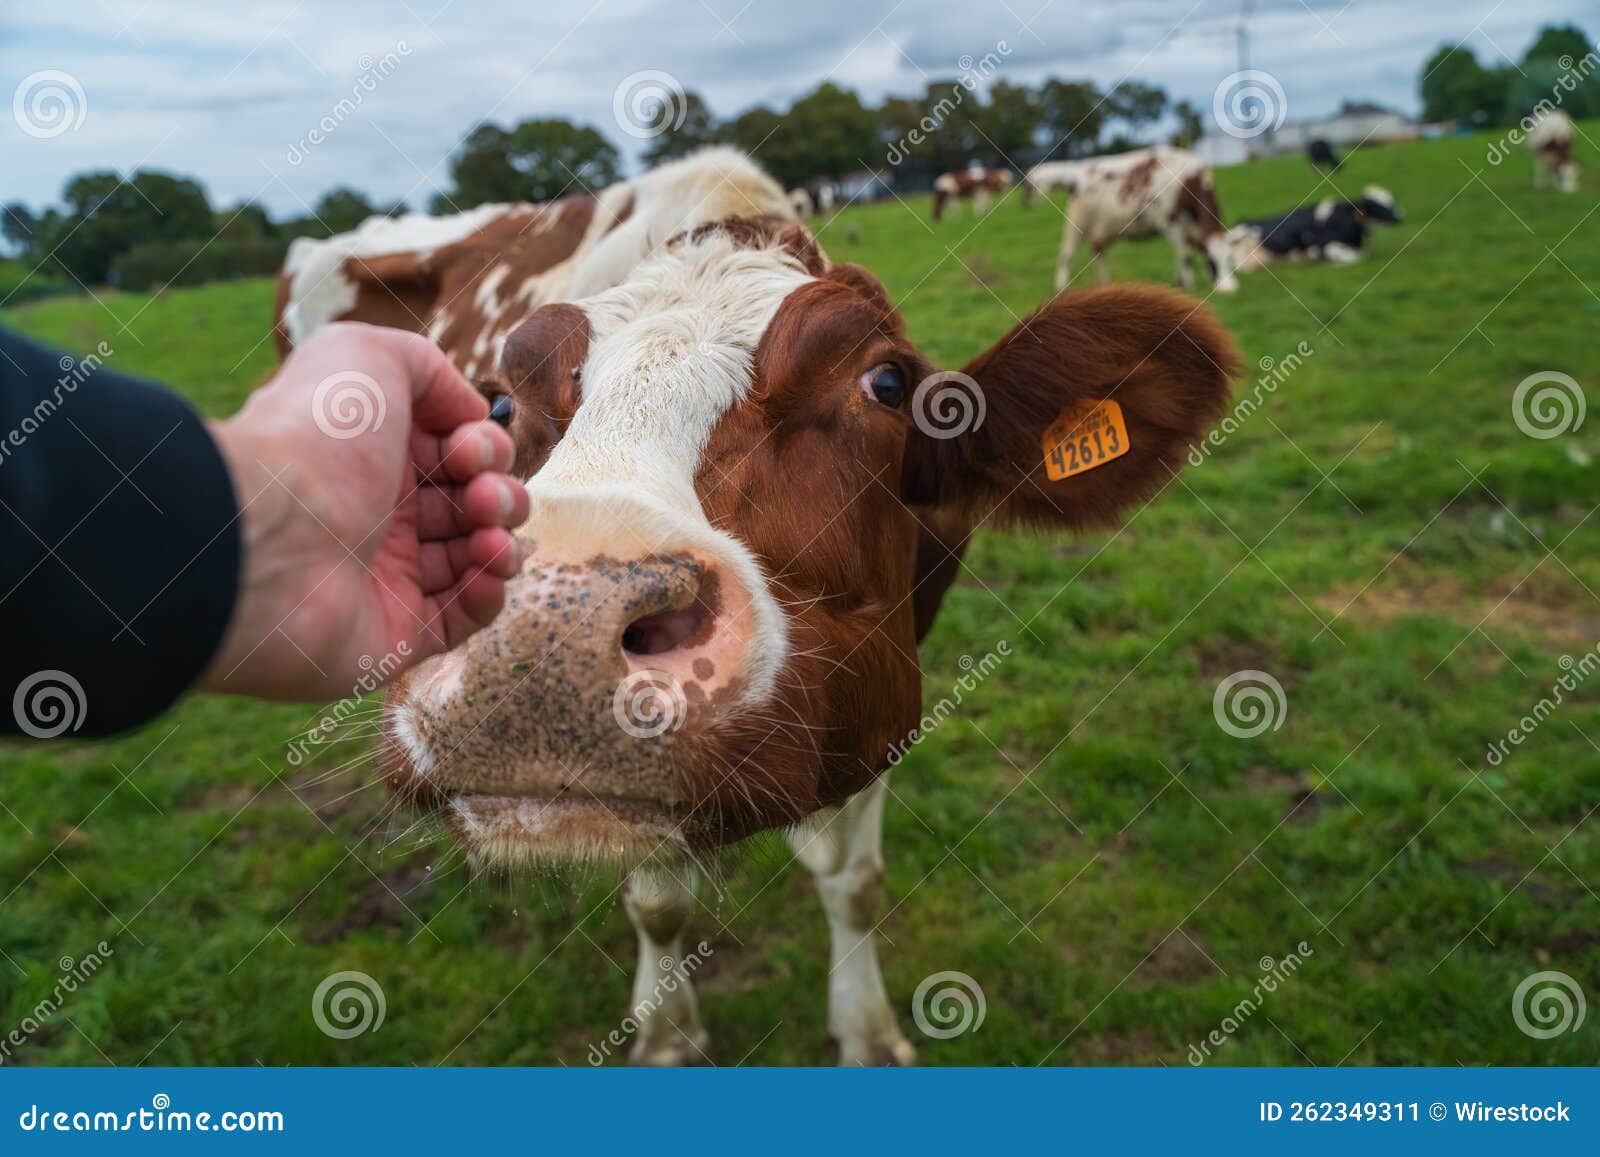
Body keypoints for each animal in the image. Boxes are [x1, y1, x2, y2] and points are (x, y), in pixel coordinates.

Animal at [1043, 146, 1241, 295]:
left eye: (1231, 260)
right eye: (1212, 261)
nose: (1229, 290)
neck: (1188, 181)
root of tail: (1081, 171)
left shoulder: (1193, 227)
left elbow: (1186, 253)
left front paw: (1179, 281)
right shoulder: (1169, 222)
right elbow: (1184, 255)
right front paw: (1189, 284)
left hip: (1102, 229)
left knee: (1098, 251)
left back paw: (1105, 285)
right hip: (1077, 222)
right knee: (1067, 254)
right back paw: (1061, 288)